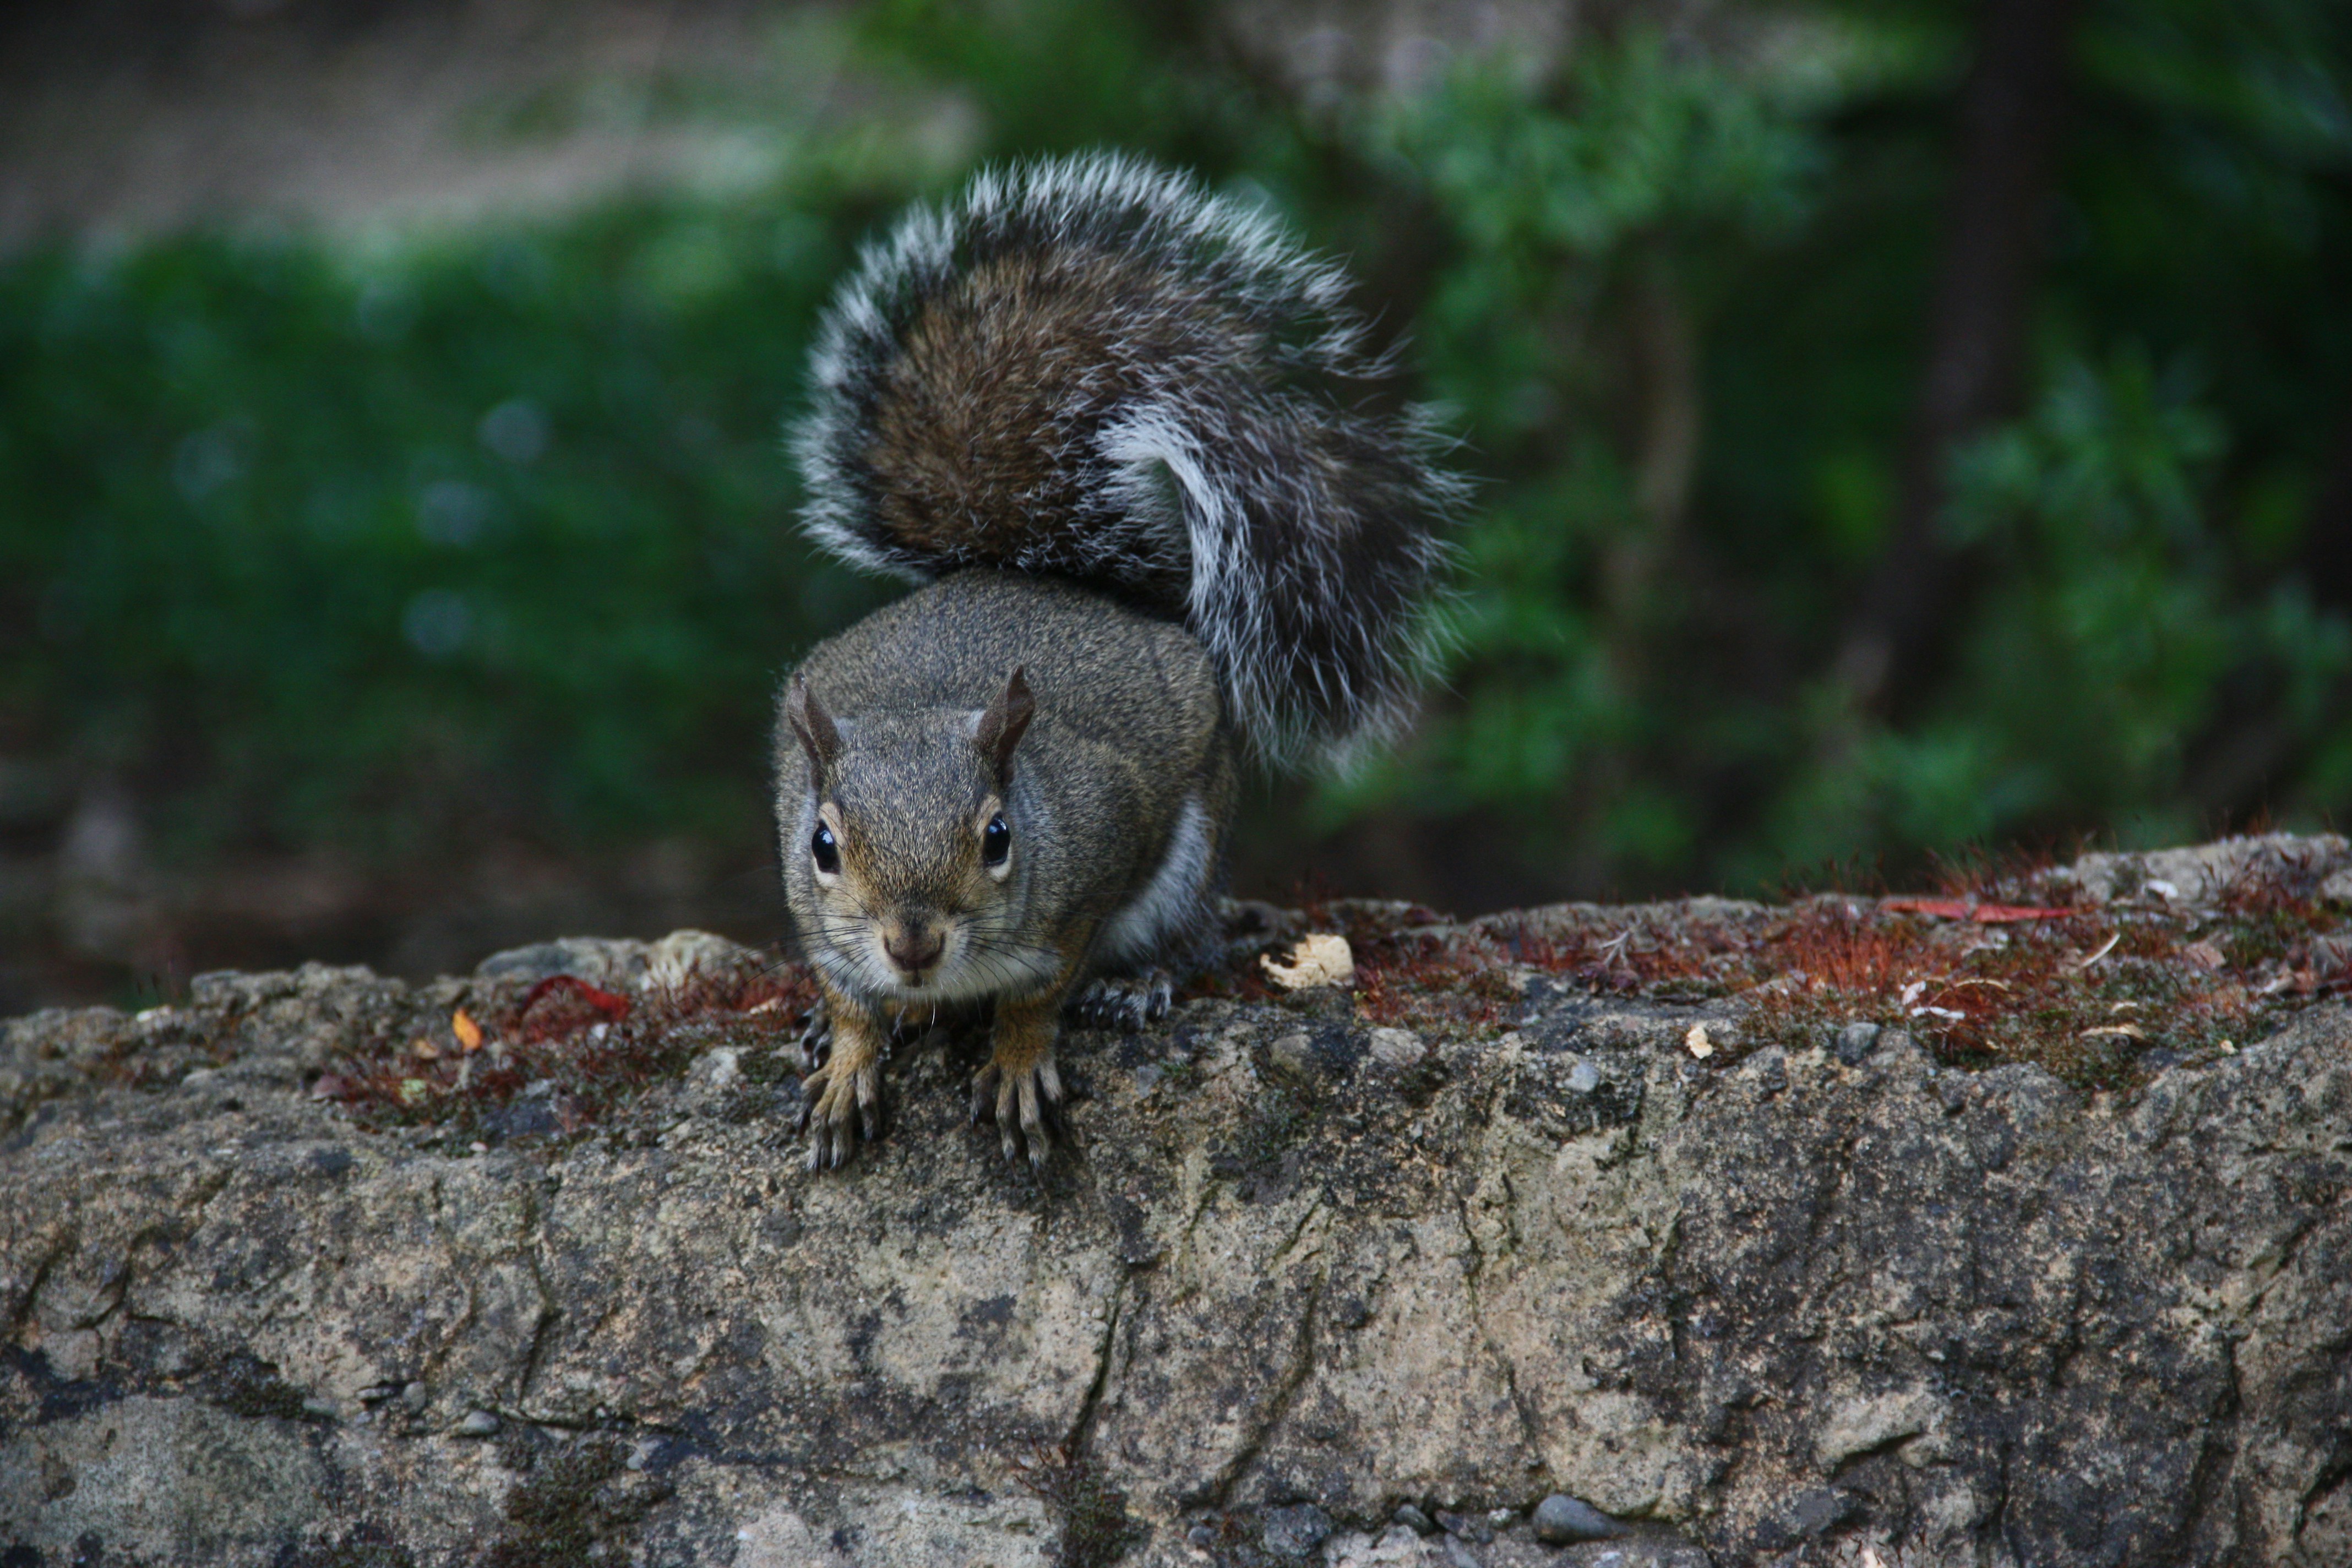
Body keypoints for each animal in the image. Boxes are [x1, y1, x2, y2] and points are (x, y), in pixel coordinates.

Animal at [776, 152, 1459, 1171]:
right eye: (823, 846)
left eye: (999, 838)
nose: (911, 946)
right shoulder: (809, 905)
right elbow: (847, 992)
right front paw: (848, 1050)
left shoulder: (1096, 858)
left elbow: (1039, 991)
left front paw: (1021, 1059)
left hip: (1192, 850)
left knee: (1189, 933)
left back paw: (1140, 983)